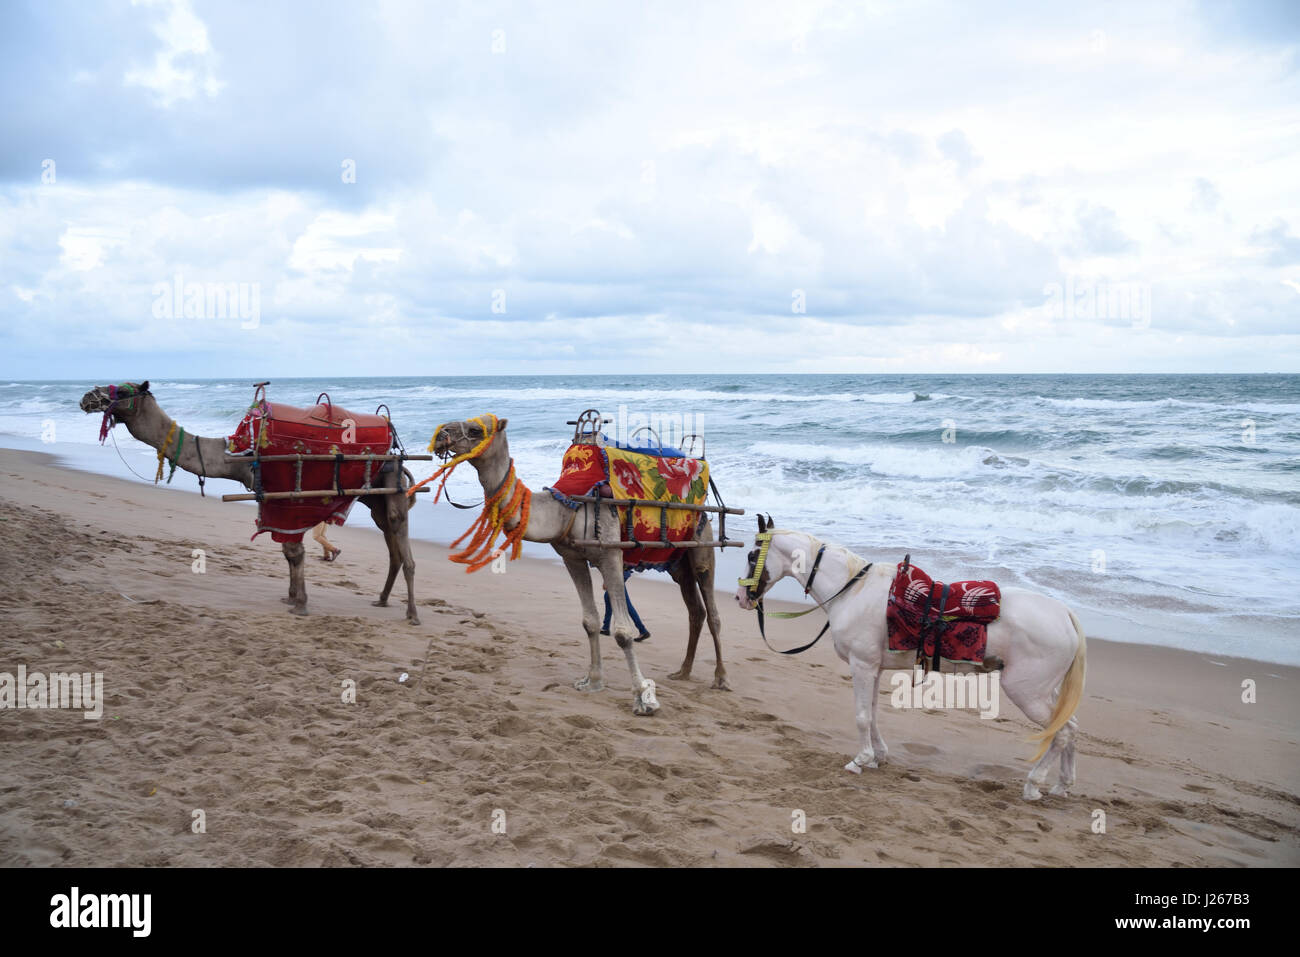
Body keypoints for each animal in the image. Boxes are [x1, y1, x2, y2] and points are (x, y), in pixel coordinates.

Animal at [79, 381, 420, 623]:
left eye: (123, 390)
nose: (86, 398)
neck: (240, 454)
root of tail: (395, 451)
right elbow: (289, 553)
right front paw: (292, 598)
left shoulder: (284, 502)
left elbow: (294, 552)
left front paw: (300, 605)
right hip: (375, 500)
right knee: (392, 549)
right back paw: (382, 599)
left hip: (392, 490)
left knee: (404, 547)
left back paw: (412, 614)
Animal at [431, 416, 728, 716]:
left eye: (476, 429)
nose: (442, 435)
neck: (566, 509)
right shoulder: (571, 557)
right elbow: (590, 621)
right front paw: (593, 681)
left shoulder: (611, 555)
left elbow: (622, 632)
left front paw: (643, 699)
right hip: (677, 562)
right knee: (695, 611)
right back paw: (683, 672)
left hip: (701, 546)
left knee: (713, 612)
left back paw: (720, 679)